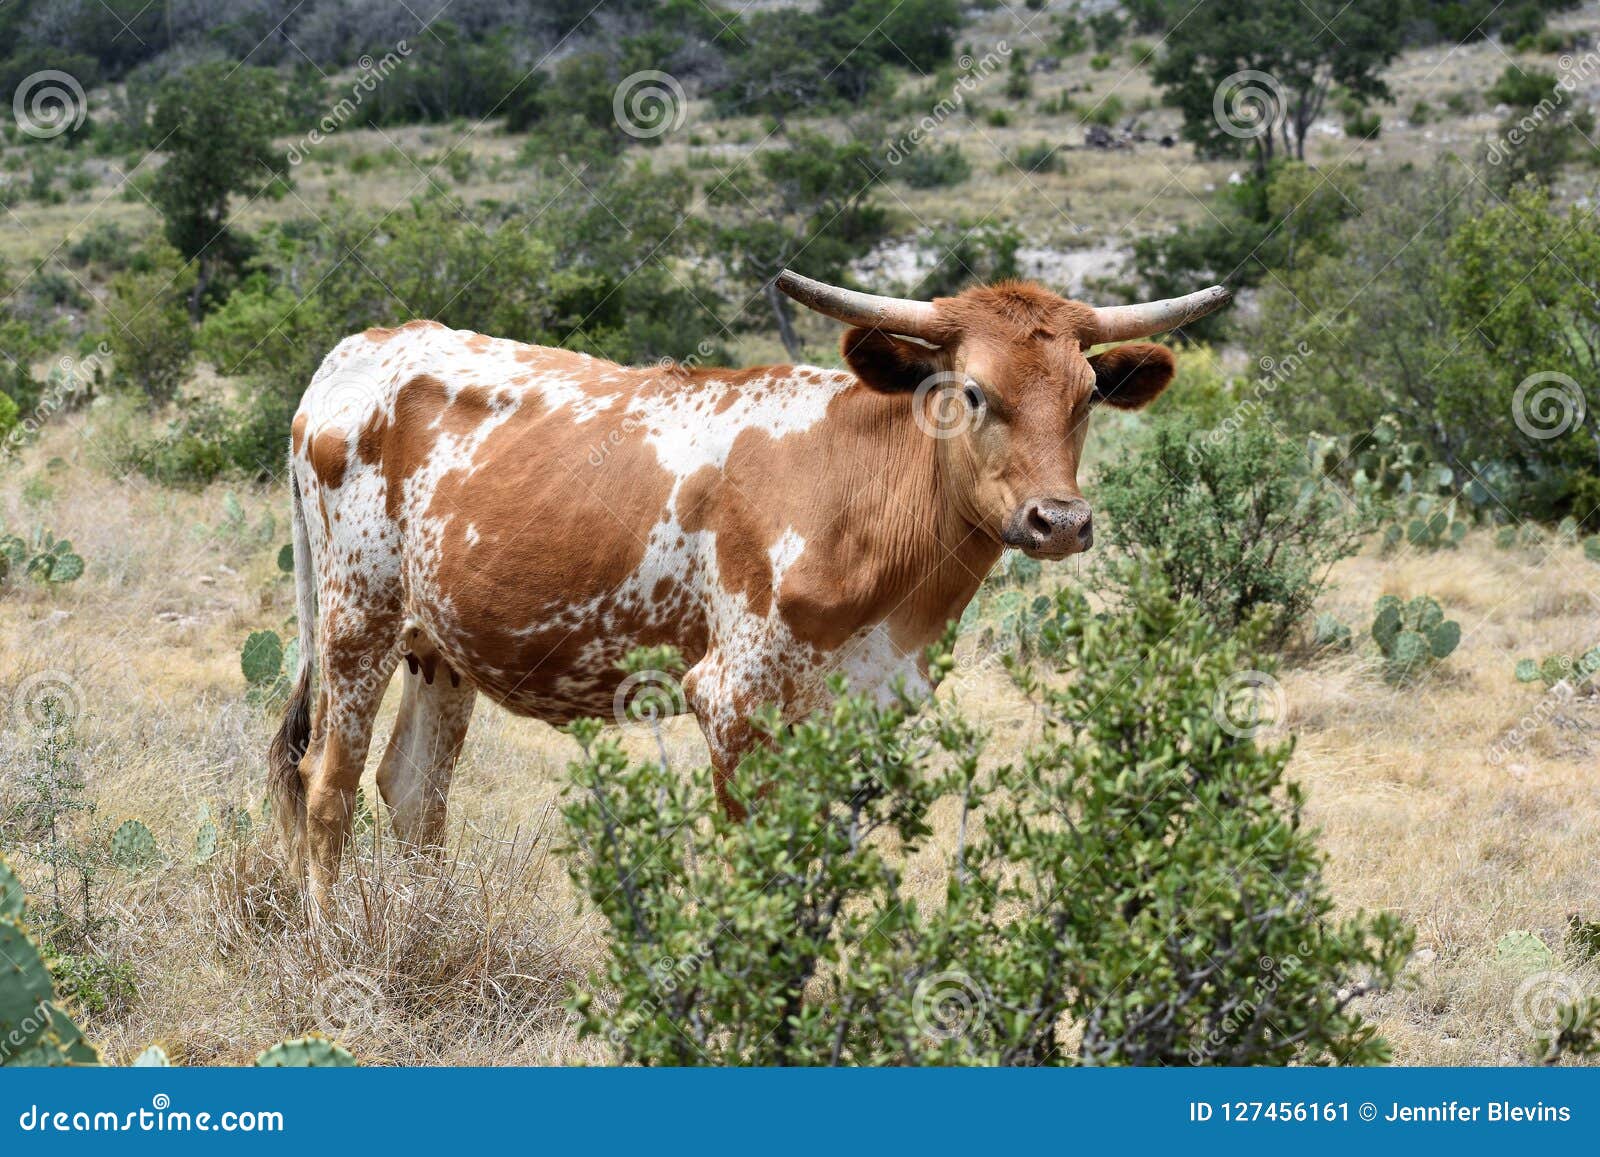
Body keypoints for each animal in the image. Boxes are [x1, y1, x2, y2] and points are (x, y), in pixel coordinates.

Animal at [270, 271, 1230, 902]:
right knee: (326, 785)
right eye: (971, 391)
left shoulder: (867, 709)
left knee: (413, 793)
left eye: (1086, 396)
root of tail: (361, 348)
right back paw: (335, 944)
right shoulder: (733, 698)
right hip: (355, 619)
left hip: (442, 646)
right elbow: (758, 867)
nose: (1058, 520)